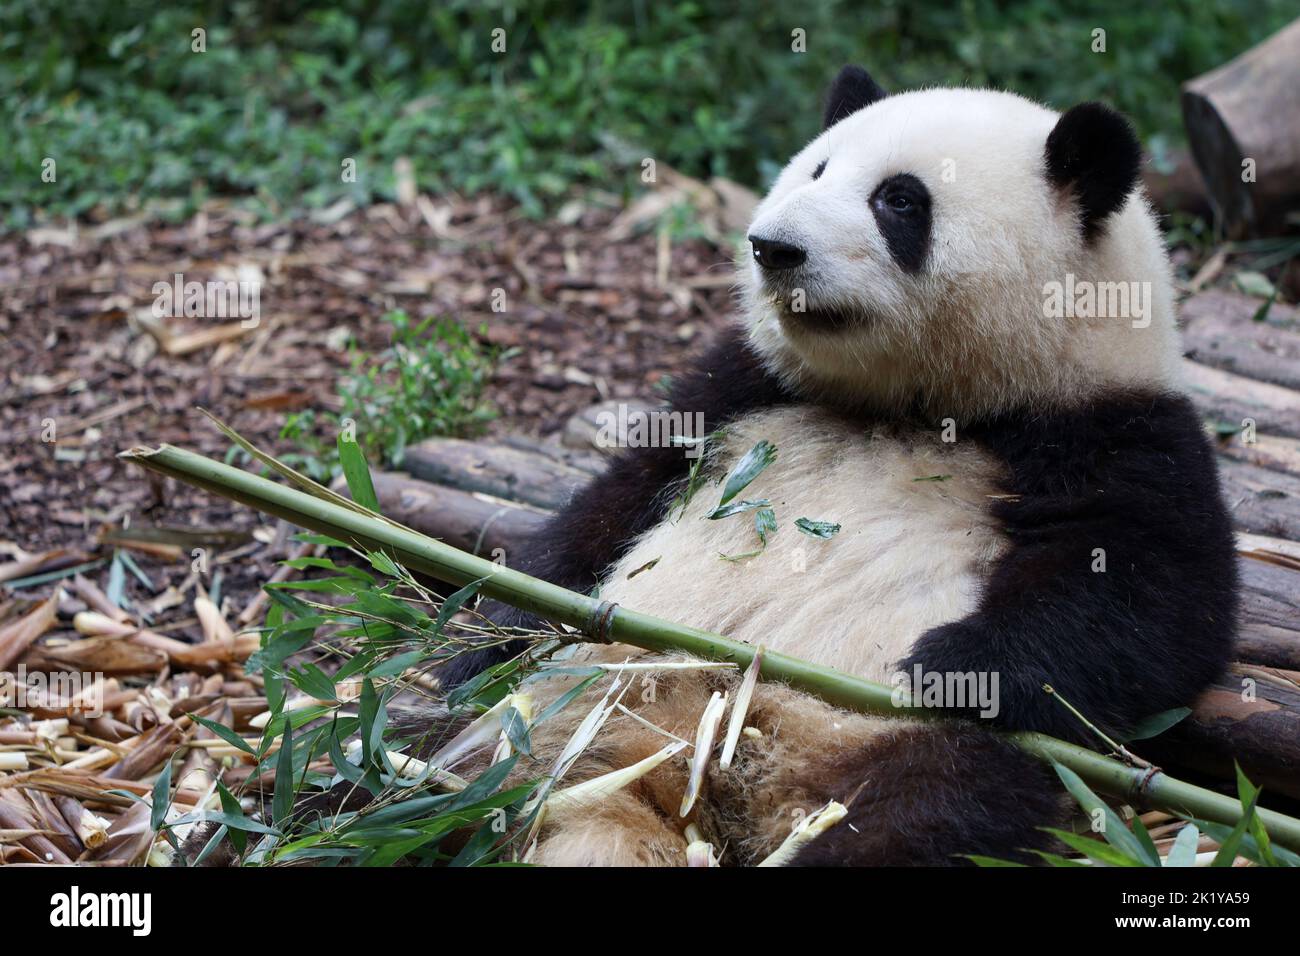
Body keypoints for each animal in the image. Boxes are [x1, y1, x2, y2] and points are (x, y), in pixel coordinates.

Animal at [441, 65, 1239, 866]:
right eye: (816, 170)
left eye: (899, 200)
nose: (772, 247)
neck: (914, 404)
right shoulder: (742, 389)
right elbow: (615, 504)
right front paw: (500, 619)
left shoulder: (1116, 431)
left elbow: (1148, 603)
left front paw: (946, 665)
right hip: (539, 709)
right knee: (438, 743)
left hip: (886, 750)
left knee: (927, 814)